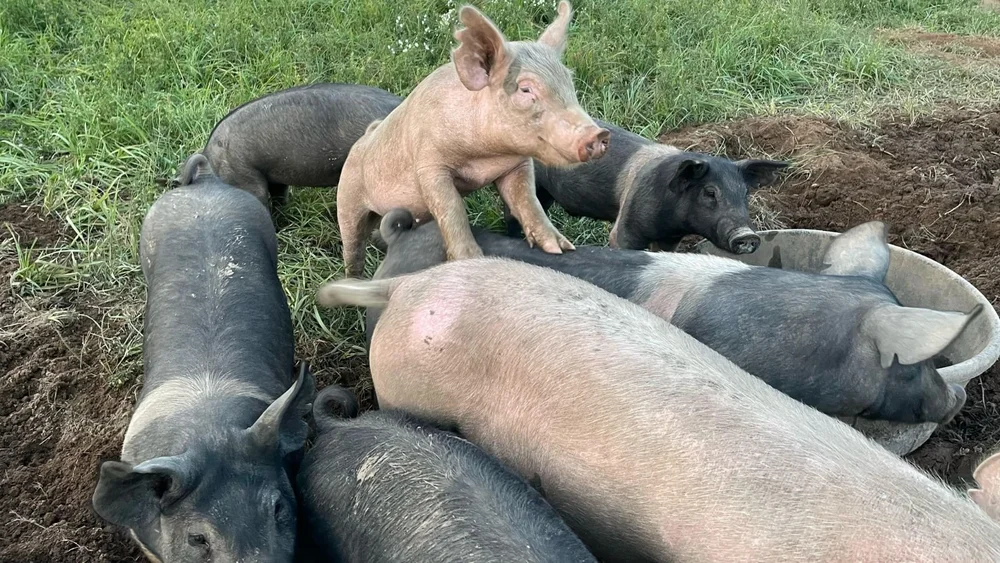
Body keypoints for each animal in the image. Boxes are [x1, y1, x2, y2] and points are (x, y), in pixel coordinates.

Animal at [335, 1, 610, 277]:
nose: (599, 134)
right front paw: (470, 259)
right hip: (347, 197)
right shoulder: (429, 164)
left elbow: (527, 200)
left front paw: (561, 248)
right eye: (525, 89)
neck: (485, 156)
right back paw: (353, 275)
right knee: (353, 242)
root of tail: (365, 136)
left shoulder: (516, 166)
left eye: (570, 84)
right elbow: (452, 208)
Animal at [504, 120, 787, 254]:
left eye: (745, 194)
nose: (747, 235)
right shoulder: (626, 228)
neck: (673, 222)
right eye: (709, 192)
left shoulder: (669, 239)